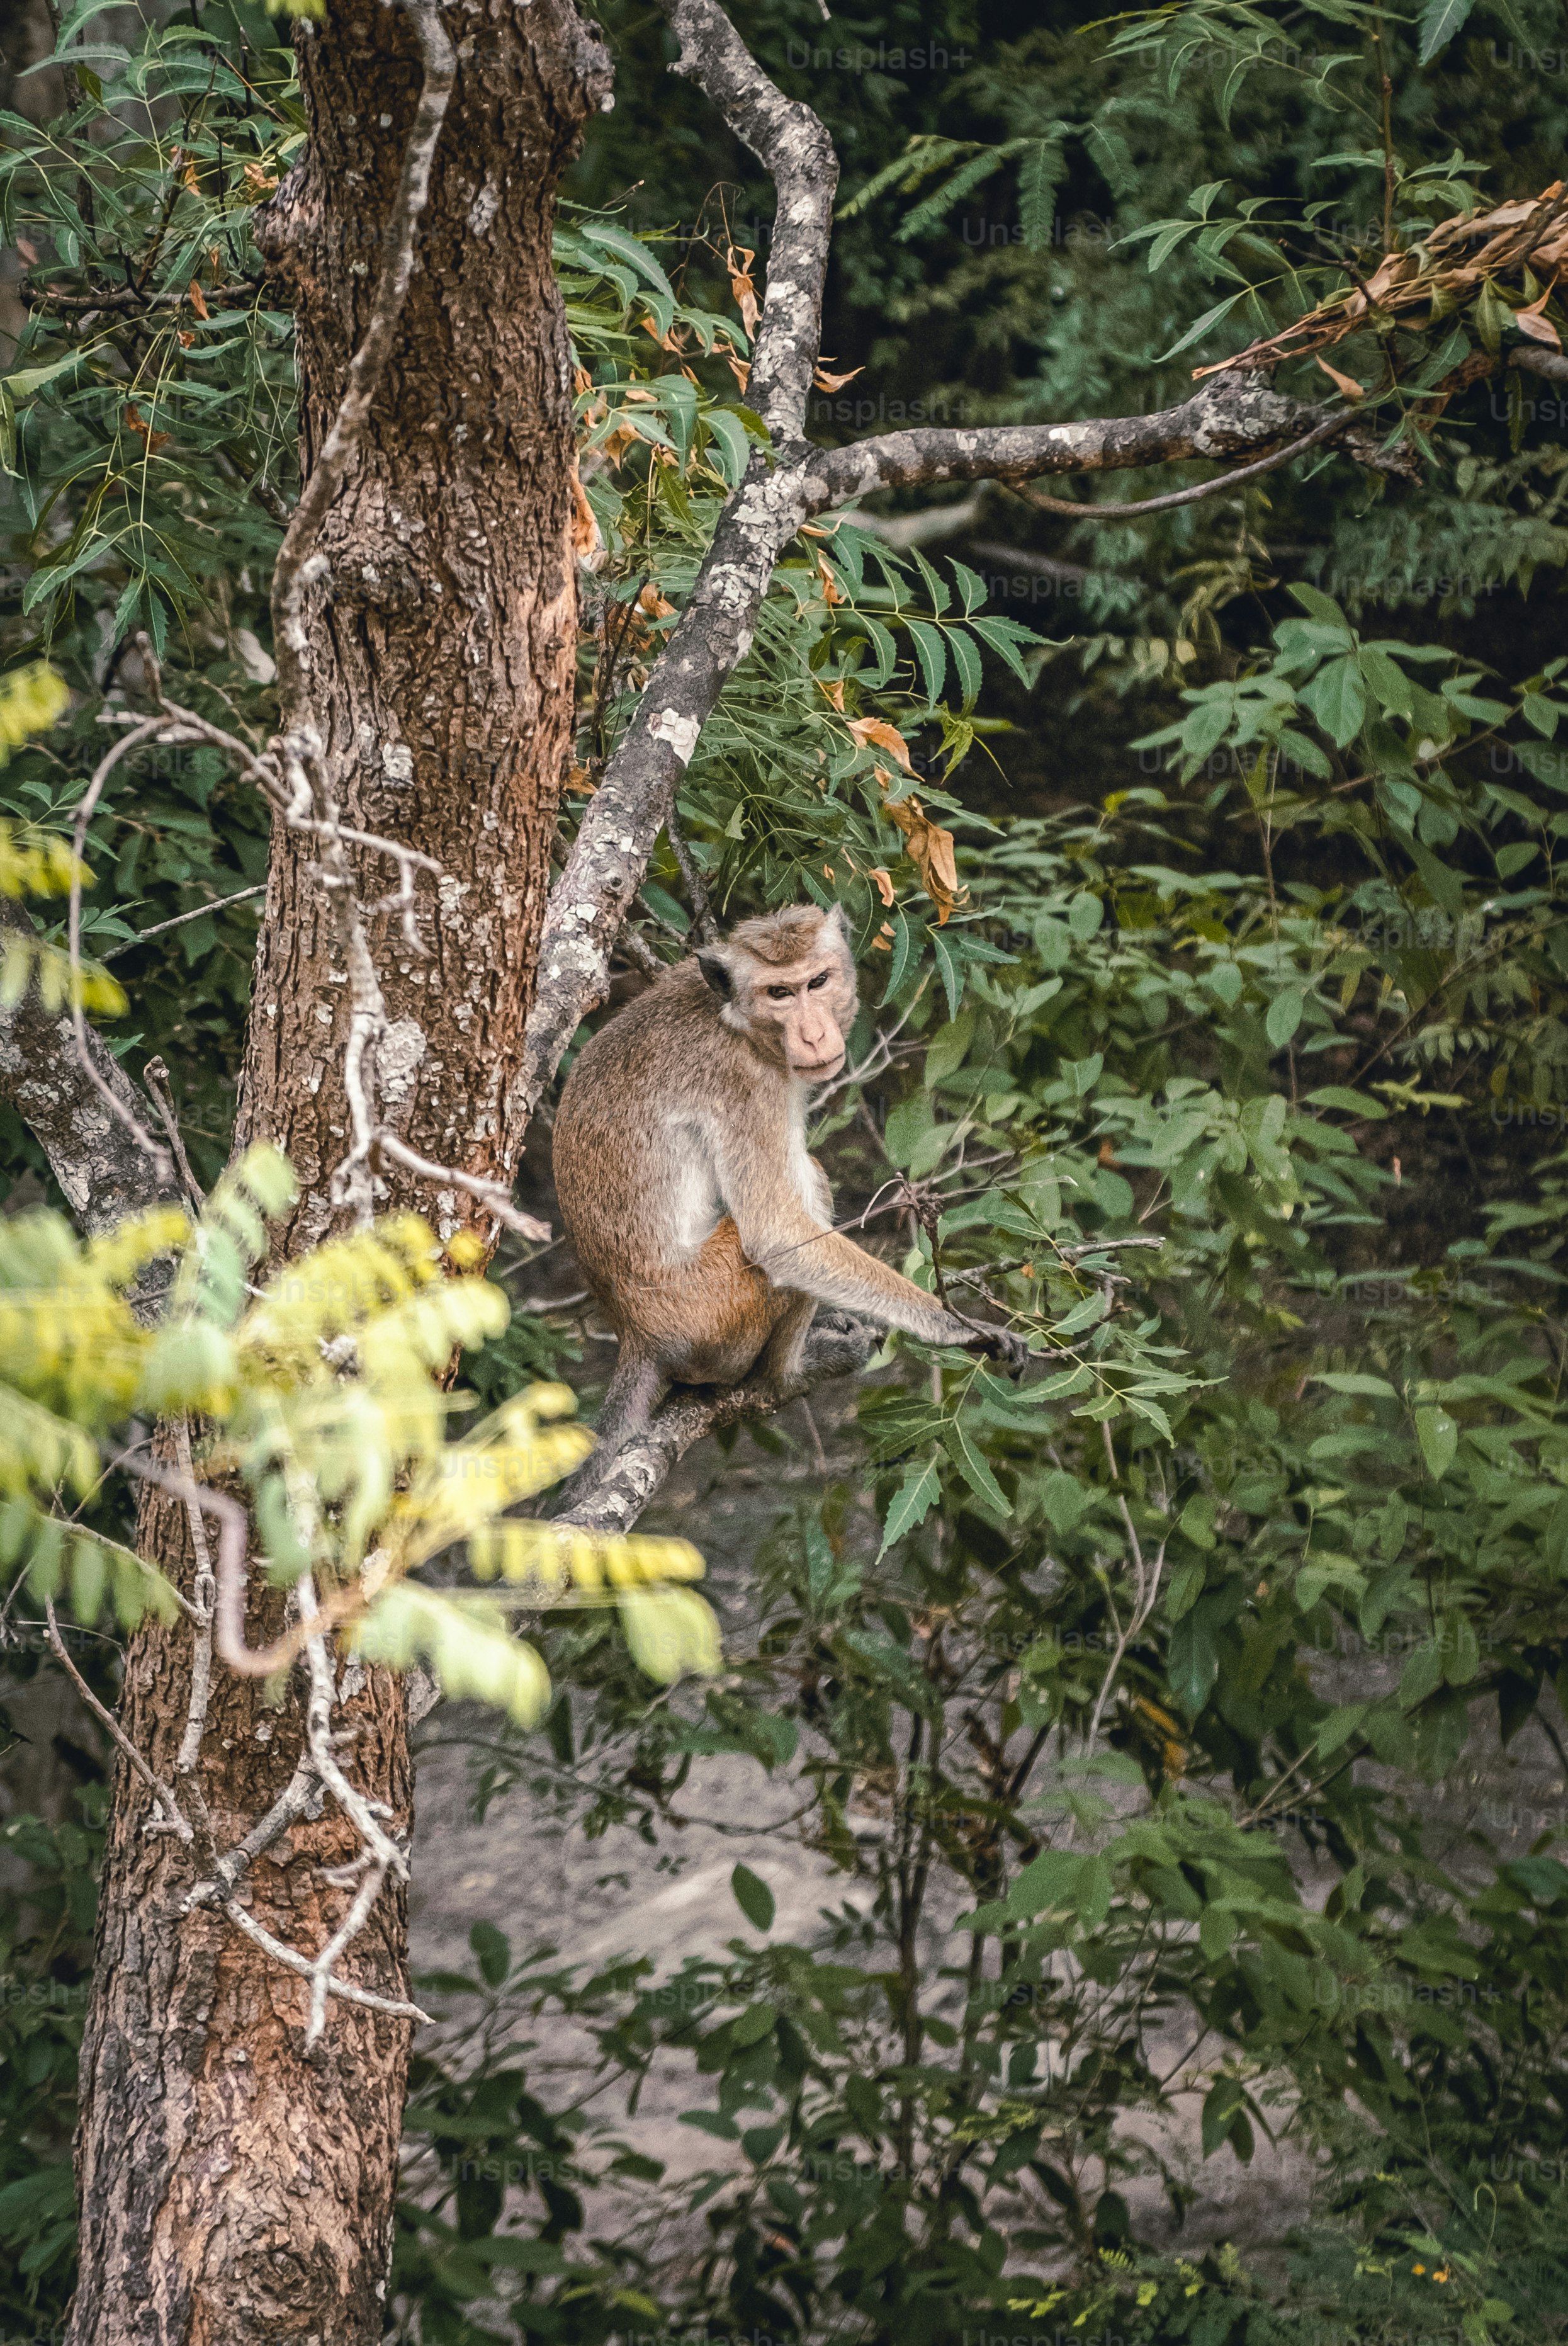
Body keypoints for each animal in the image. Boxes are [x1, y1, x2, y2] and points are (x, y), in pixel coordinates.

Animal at [551, 901, 1029, 1475]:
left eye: (817, 982)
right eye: (779, 993)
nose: (814, 1035)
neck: (736, 1023)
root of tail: (638, 1339)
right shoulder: (745, 1085)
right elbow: (778, 1233)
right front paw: (954, 1326)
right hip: (711, 1318)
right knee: (807, 1186)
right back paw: (785, 1376)